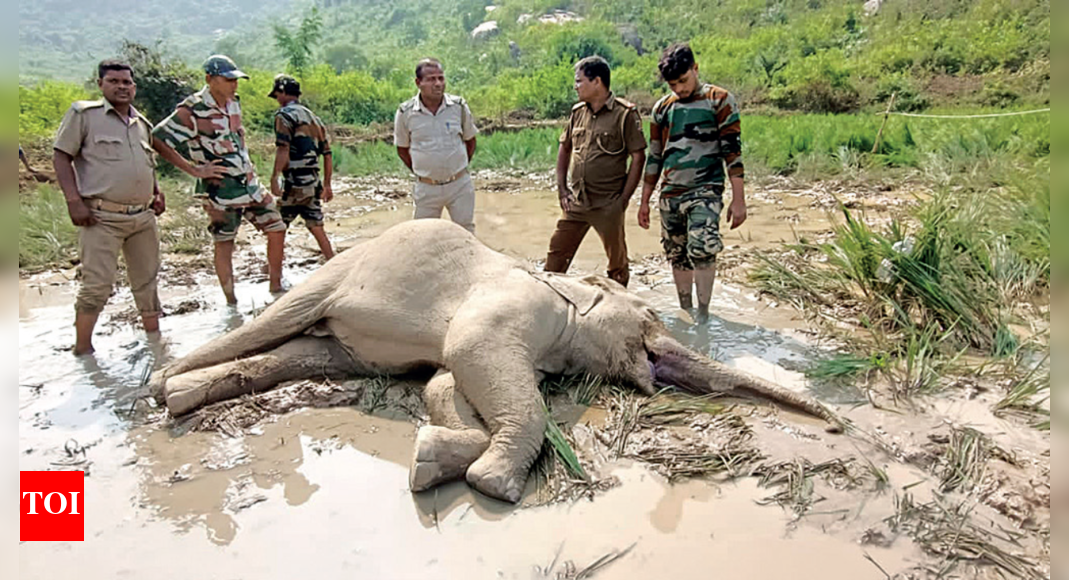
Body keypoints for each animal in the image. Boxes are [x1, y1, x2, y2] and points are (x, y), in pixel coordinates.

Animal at [151, 219, 844, 503]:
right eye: (649, 319)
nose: (836, 423)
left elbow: (446, 383)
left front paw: (432, 457)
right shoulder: (511, 308)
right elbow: (471, 353)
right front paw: (492, 485)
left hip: (342, 344)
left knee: (302, 356)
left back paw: (179, 396)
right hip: (337, 273)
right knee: (280, 321)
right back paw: (162, 385)